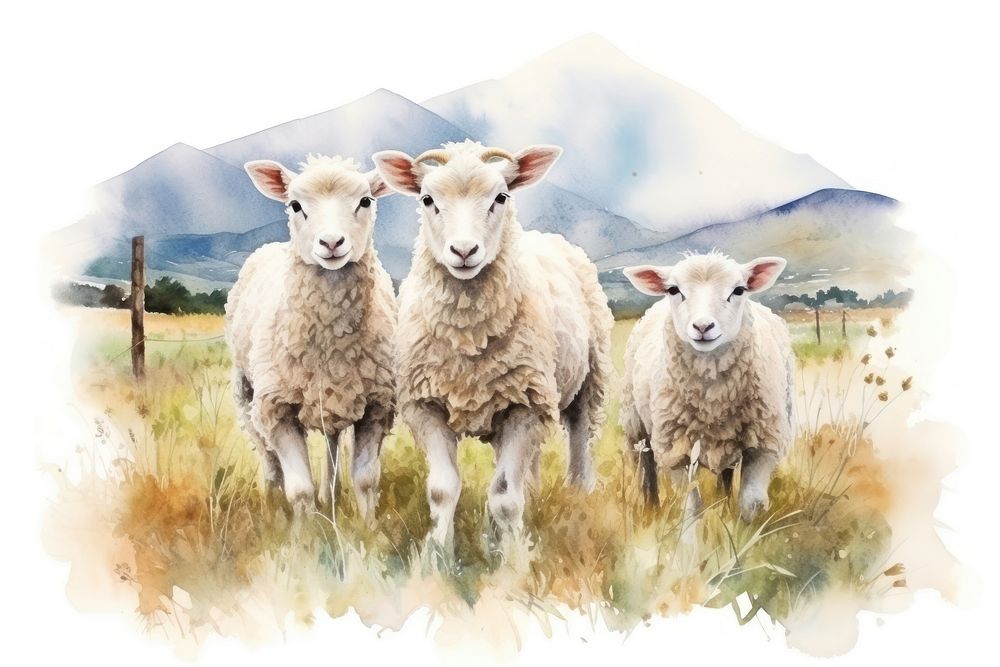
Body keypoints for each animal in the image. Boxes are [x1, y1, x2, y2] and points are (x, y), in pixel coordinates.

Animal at [225, 154, 396, 521]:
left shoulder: (377, 404)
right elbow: (299, 489)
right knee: (267, 456)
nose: (331, 243)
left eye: (365, 201)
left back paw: (330, 496)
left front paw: (368, 527)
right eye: (295, 205)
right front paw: (304, 532)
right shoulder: (277, 408)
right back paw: (272, 501)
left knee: (331, 447)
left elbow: (366, 481)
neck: (333, 343)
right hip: (246, 391)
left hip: (332, 397)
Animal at [372, 140, 613, 552]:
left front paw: (514, 557)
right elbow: (442, 489)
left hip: (586, 379)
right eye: (427, 199)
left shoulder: (525, 407)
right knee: (525, 467)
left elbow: (504, 496)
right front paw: (439, 553)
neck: (469, 336)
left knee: (580, 439)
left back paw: (580, 493)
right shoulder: (425, 405)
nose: (464, 251)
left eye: (500, 197)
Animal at [620, 251, 794, 522]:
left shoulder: (764, 444)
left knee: (726, 472)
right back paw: (651, 509)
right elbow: (691, 507)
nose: (703, 327)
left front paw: (742, 530)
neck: (713, 397)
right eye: (673, 289)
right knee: (646, 469)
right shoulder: (677, 450)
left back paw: (724, 501)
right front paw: (690, 534)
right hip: (635, 424)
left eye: (739, 290)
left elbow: (751, 502)